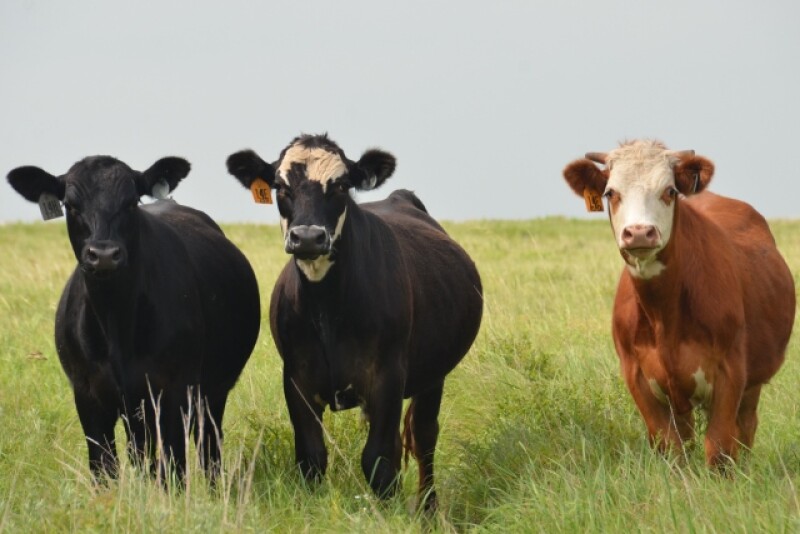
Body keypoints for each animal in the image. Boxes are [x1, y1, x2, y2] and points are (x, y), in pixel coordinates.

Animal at [6, 155, 261, 483]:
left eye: (130, 202)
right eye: (71, 205)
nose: (103, 255)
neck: (117, 323)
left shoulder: (173, 391)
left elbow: (172, 468)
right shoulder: (88, 396)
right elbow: (104, 469)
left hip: (211, 393)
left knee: (208, 449)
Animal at [225, 133, 483, 509]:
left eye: (341, 185)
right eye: (280, 186)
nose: (307, 237)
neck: (328, 311)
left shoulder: (388, 376)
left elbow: (378, 460)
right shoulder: (296, 378)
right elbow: (311, 456)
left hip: (434, 374)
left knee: (424, 437)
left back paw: (428, 509)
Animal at [562, 140, 795, 468]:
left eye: (669, 191)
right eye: (610, 192)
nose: (639, 232)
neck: (663, 315)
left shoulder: (730, 372)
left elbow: (720, 448)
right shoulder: (637, 376)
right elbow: (669, 447)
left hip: (754, 379)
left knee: (746, 427)